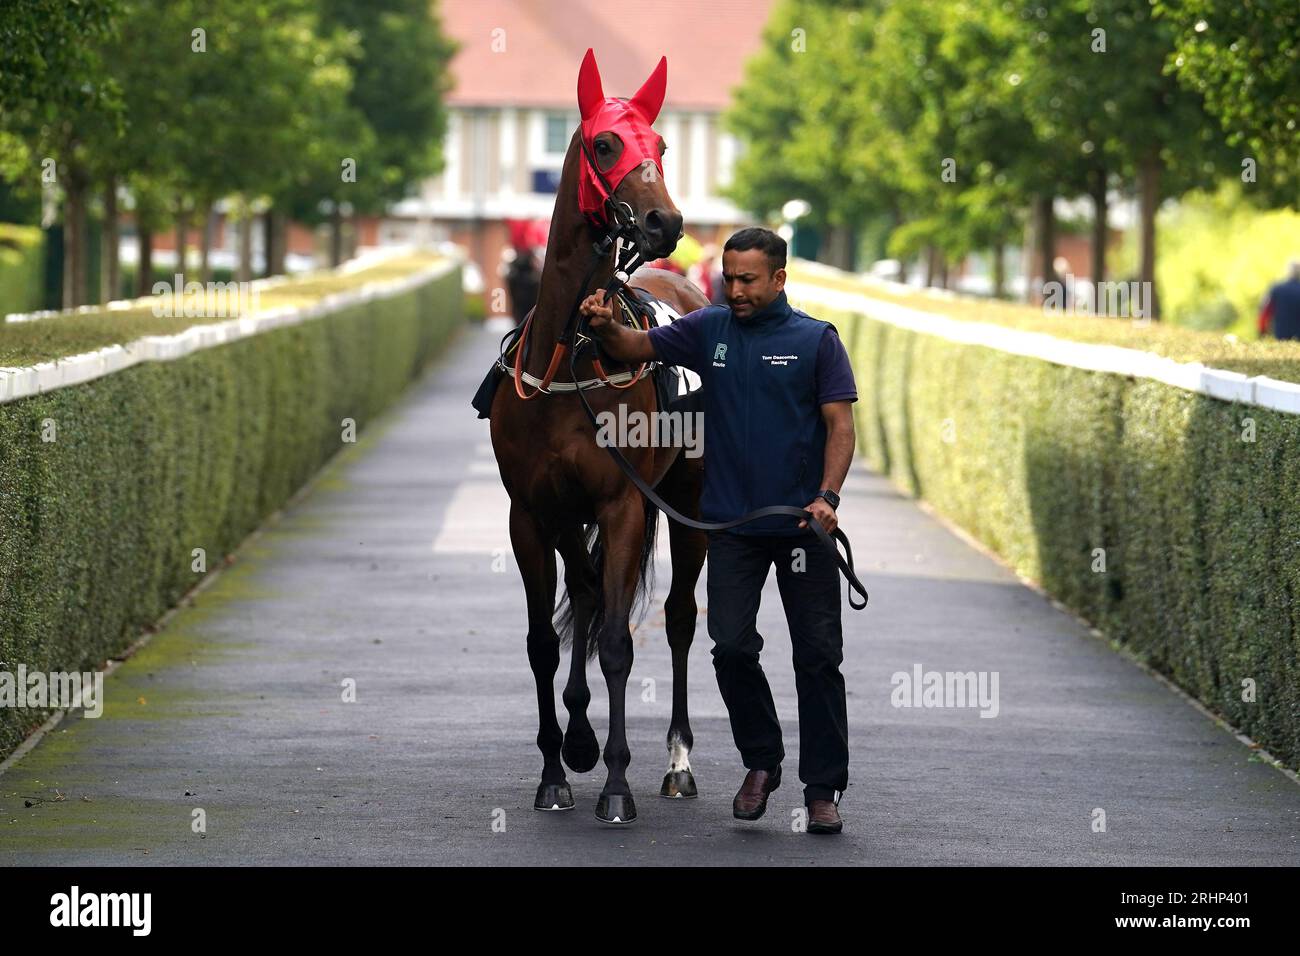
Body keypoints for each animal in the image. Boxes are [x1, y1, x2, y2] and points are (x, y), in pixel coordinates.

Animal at [486, 49, 709, 825]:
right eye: (606, 144)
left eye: (663, 144)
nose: (664, 221)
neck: (572, 355)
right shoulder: (532, 513)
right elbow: (543, 641)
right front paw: (558, 768)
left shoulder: (622, 504)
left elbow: (616, 642)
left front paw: (615, 783)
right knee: (582, 595)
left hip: (684, 499)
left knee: (678, 617)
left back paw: (677, 762)